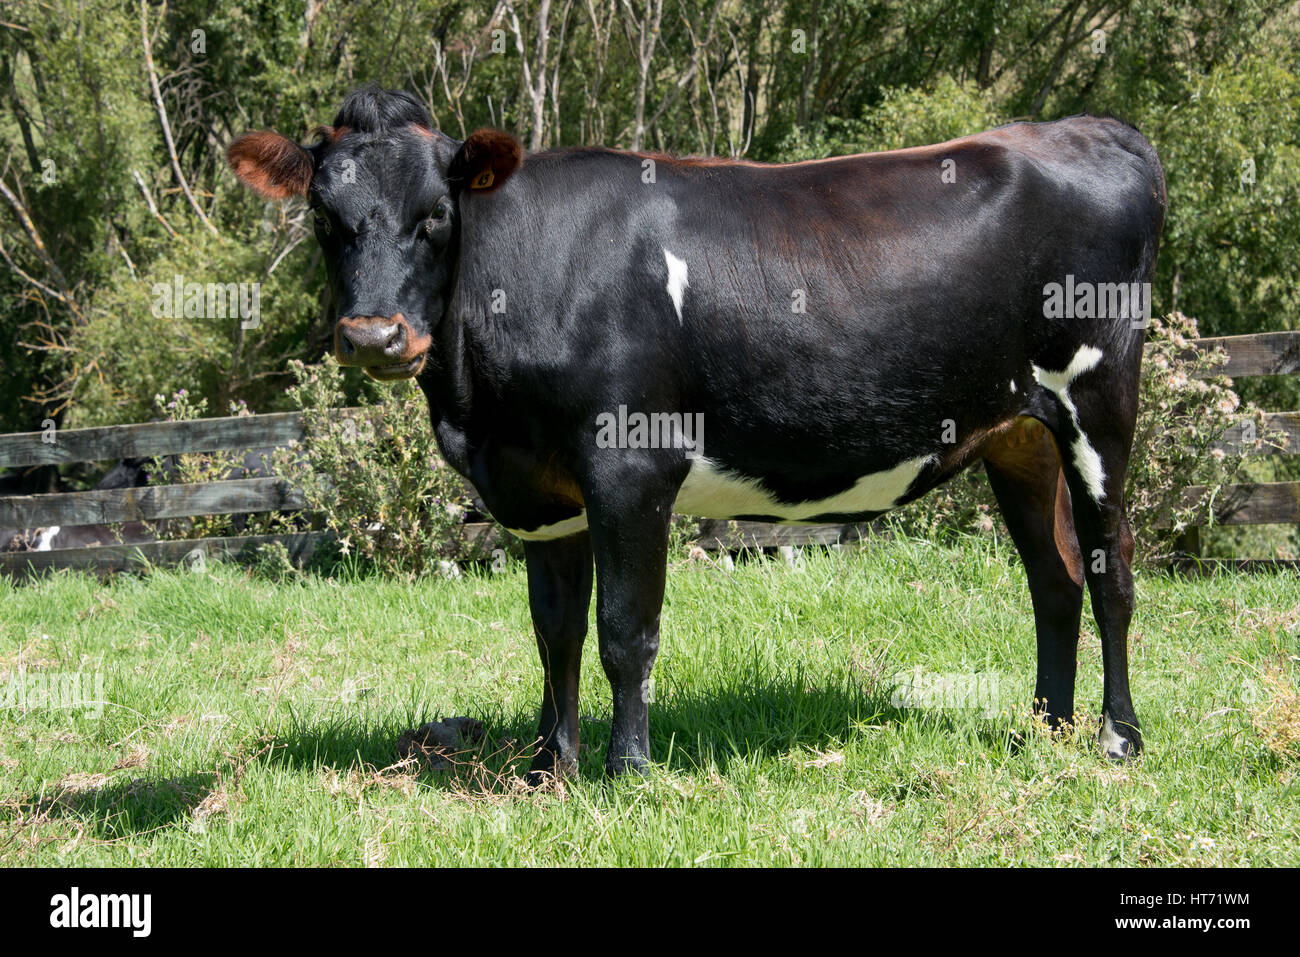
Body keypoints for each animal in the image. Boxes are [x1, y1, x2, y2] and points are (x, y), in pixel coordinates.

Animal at [228, 86, 1165, 780]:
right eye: (323, 216)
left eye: (434, 214)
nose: (374, 336)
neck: (479, 412)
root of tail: (1090, 128)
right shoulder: (542, 491)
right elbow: (555, 632)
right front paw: (547, 768)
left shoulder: (631, 464)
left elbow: (625, 630)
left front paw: (628, 772)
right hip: (1018, 431)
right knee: (1054, 578)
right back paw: (1044, 727)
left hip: (1097, 396)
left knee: (1111, 566)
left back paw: (1118, 737)